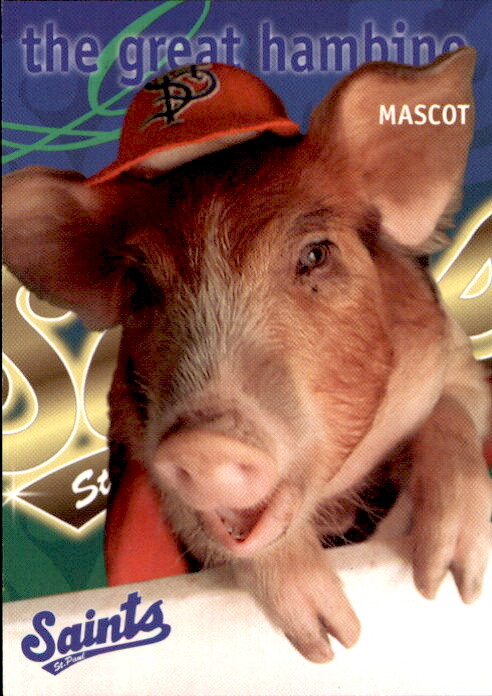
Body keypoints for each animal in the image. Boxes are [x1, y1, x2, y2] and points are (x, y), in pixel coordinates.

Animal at [3, 48, 491, 663]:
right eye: (139, 288)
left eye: (316, 254)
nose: (205, 443)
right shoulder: (140, 449)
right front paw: (330, 642)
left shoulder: (454, 359)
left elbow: (453, 413)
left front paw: (450, 582)